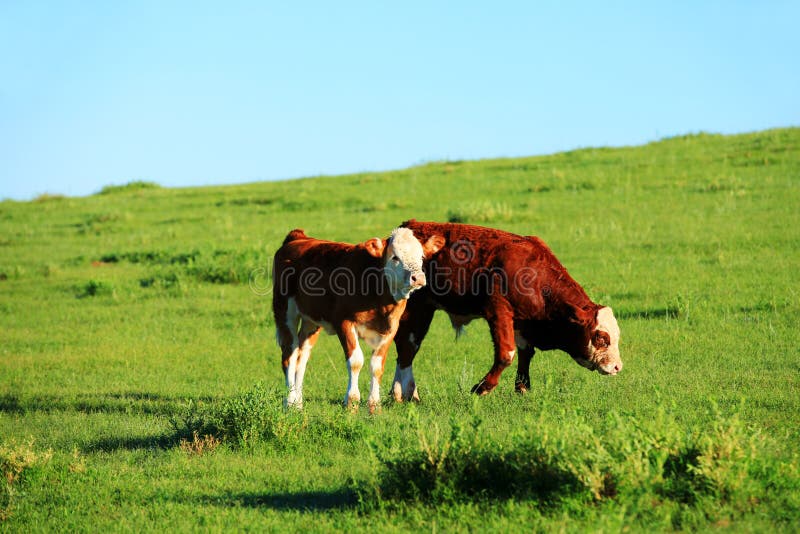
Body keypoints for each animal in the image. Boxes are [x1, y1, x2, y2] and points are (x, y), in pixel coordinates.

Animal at [272, 227, 444, 412]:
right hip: (285, 311)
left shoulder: (391, 328)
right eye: (395, 257)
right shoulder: (344, 322)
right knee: (290, 355)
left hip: (311, 320)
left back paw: (298, 403)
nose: (418, 277)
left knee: (302, 357)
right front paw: (352, 402)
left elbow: (377, 365)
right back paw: (290, 401)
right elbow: (355, 361)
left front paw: (374, 405)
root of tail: (298, 238)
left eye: (421, 257)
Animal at [391, 220, 622, 402]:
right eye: (601, 337)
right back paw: (404, 395)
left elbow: (526, 352)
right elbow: (506, 353)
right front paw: (482, 387)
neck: (535, 276)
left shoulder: (523, 321)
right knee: (407, 347)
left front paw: (522, 387)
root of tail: (410, 225)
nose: (618, 367)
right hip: (416, 307)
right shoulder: (498, 311)